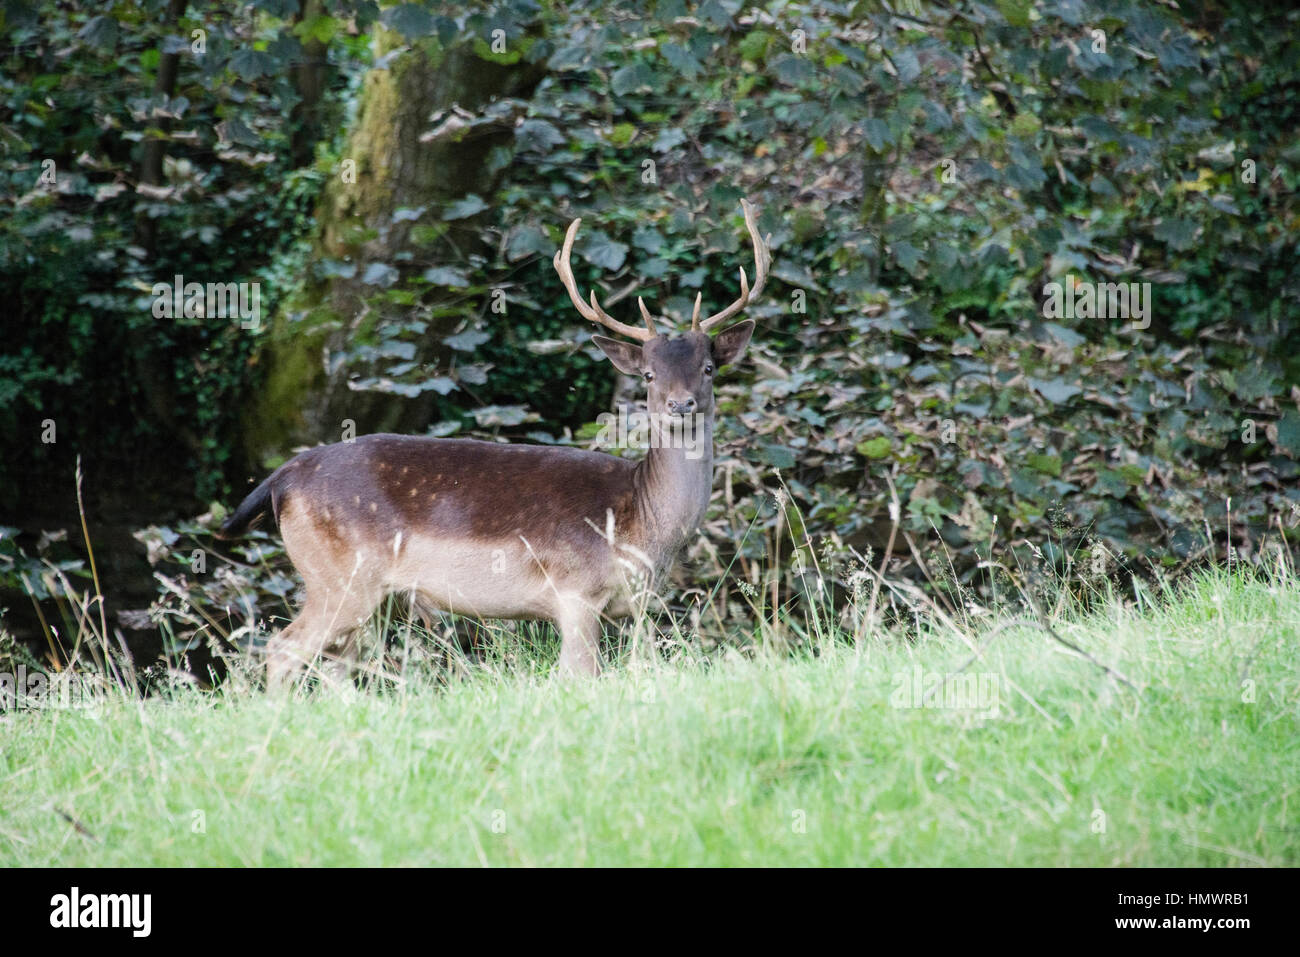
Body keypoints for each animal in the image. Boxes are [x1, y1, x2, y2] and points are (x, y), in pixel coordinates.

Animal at [216, 199, 770, 687]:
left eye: (709, 367)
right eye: (649, 375)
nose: (681, 404)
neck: (642, 525)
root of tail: (282, 478)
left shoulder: (635, 608)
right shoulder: (574, 592)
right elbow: (581, 678)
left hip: (364, 595)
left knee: (336, 666)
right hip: (339, 575)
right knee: (281, 650)